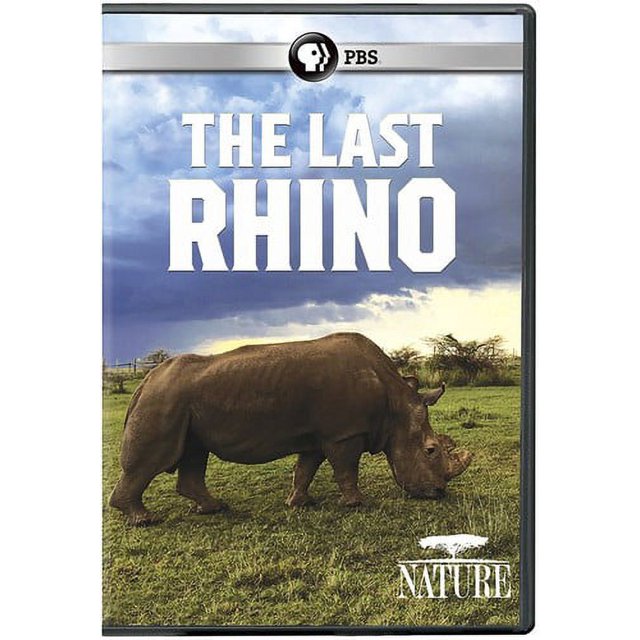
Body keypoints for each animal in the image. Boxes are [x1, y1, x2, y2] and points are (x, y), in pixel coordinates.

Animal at [109, 332, 472, 526]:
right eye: (431, 450)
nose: (438, 493)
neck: (396, 405)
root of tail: (145, 380)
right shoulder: (345, 433)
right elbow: (346, 469)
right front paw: (357, 503)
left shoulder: (319, 435)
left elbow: (305, 468)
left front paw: (299, 503)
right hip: (164, 400)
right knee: (154, 459)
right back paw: (145, 520)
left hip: (181, 404)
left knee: (195, 453)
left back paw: (214, 508)